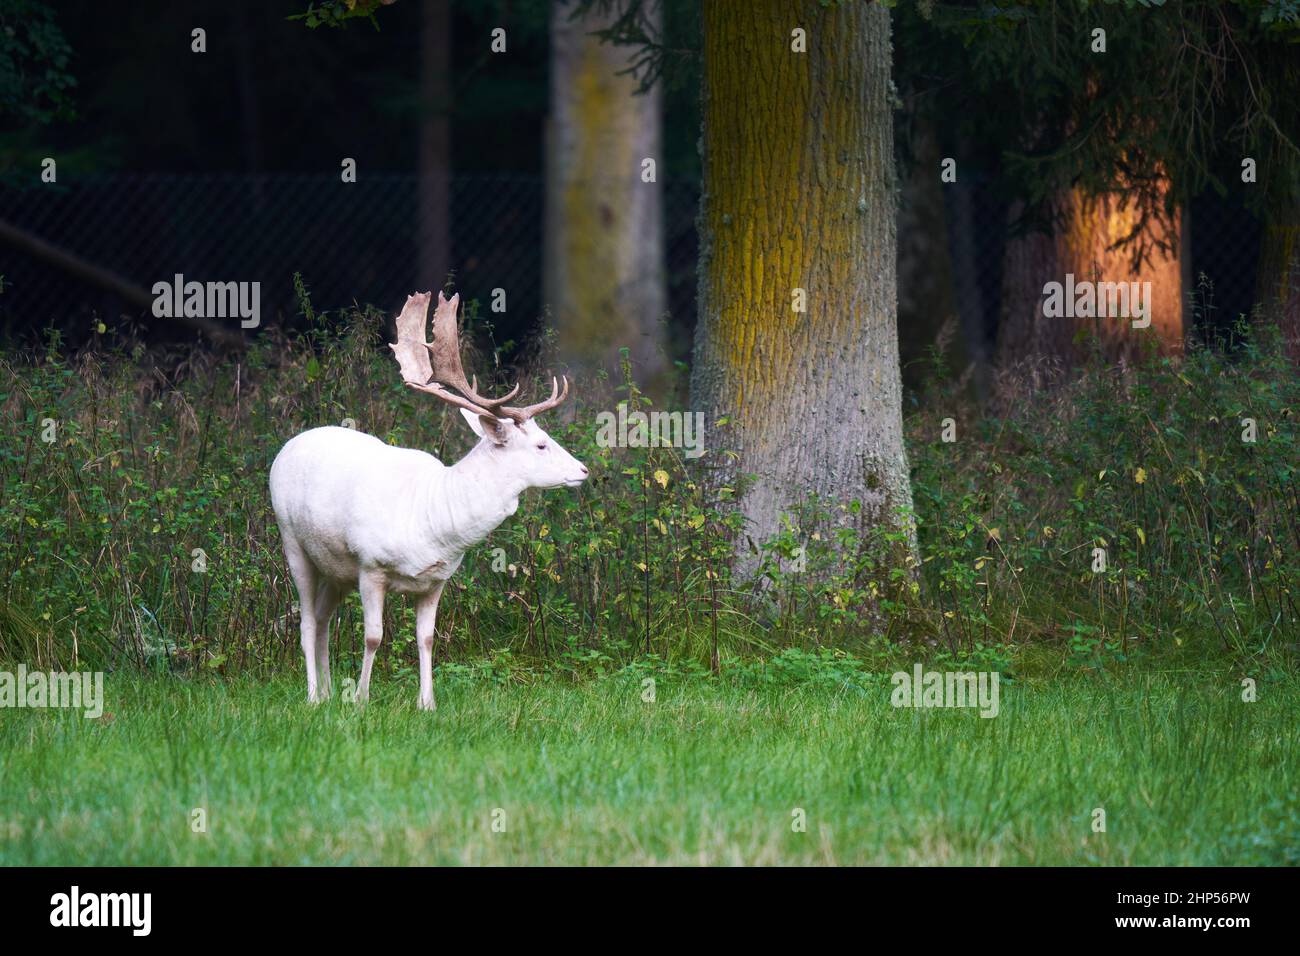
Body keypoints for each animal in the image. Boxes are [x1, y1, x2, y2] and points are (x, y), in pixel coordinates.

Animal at [269, 290, 587, 710]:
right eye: (541, 444)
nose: (583, 469)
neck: (433, 523)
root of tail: (287, 446)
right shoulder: (370, 566)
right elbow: (373, 636)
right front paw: (361, 700)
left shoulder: (437, 579)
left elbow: (427, 638)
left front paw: (427, 703)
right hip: (292, 540)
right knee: (306, 620)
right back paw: (313, 697)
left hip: (336, 568)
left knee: (322, 619)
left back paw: (326, 690)